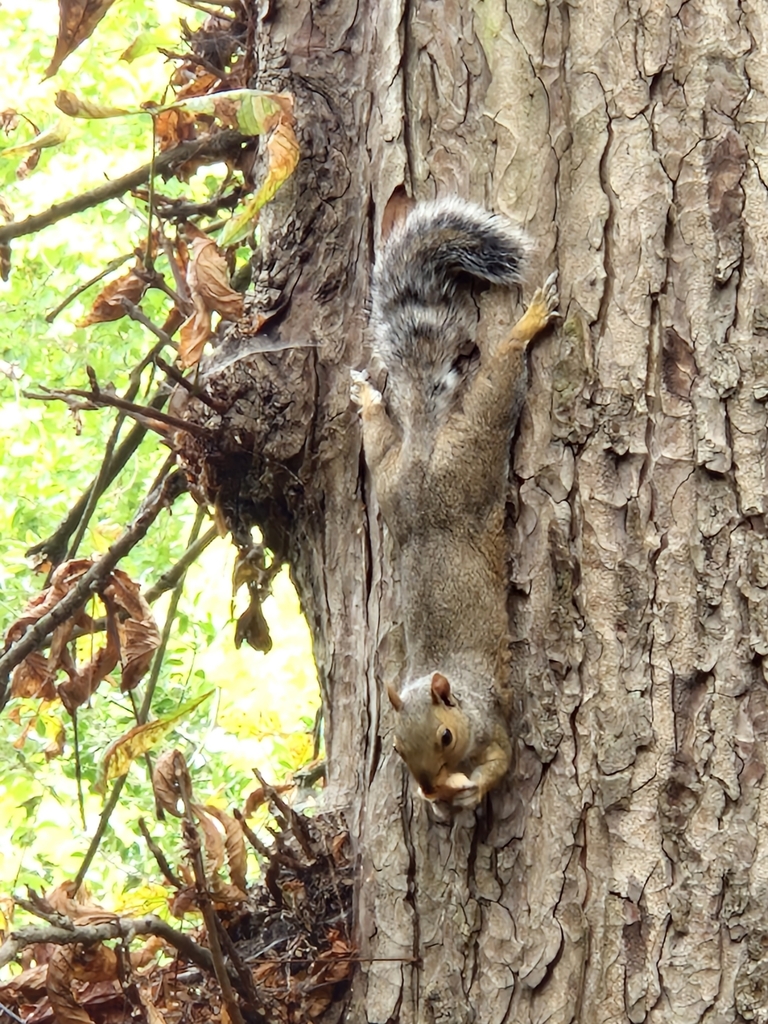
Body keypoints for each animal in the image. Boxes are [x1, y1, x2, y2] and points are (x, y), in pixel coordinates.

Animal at [352, 196, 558, 809]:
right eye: (397, 749)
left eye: (445, 736)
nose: (429, 786)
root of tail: (423, 455)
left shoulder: (493, 719)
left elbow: (501, 763)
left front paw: (467, 791)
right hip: (391, 482)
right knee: (379, 437)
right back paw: (368, 398)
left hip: (474, 451)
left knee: (501, 374)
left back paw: (527, 324)